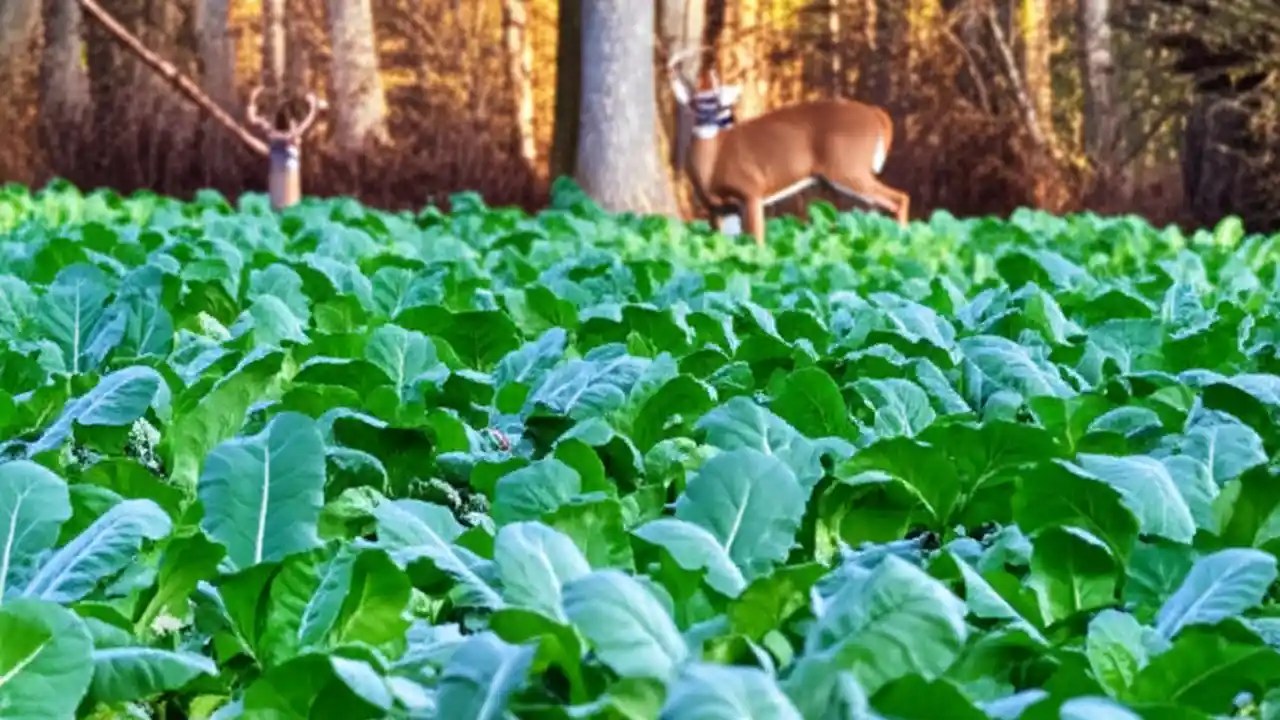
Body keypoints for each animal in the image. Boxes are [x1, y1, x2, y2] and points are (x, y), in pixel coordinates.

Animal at [666, 47, 910, 246]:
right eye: (695, 102)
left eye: (717, 101)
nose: (717, 121)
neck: (712, 166)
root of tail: (876, 115)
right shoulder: (718, 208)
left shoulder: (751, 191)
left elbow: (758, 241)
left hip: (848, 168)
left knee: (899, 198)